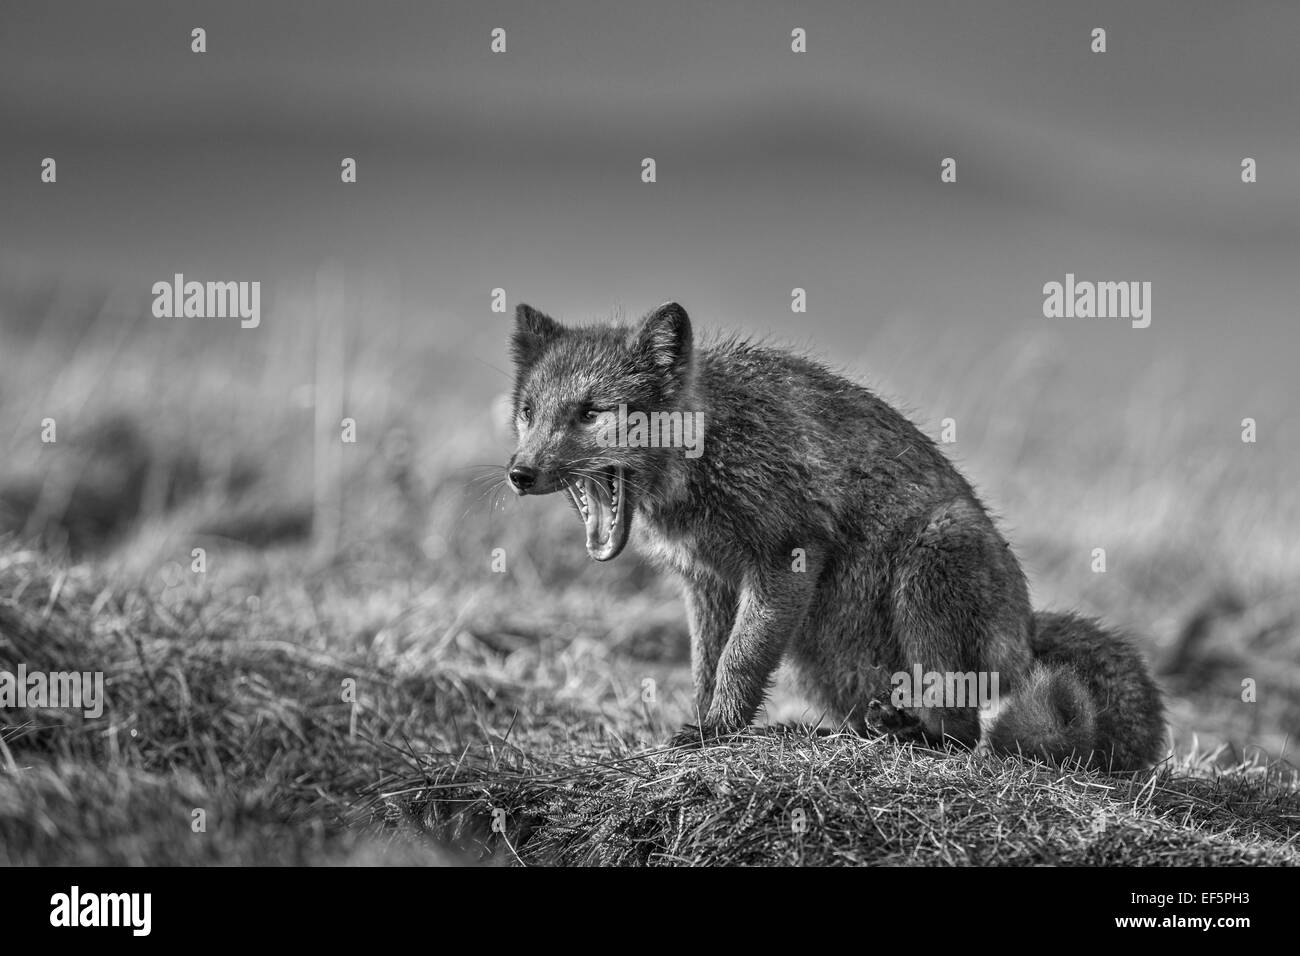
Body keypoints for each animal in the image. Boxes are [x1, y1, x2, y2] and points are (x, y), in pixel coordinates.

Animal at [505, 301, 1167, 771]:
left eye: (593, 412)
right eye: (528, 412)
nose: (519, 474)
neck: (712, 445)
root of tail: (1028, 634)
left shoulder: (787, 554)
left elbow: (739, 660)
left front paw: (715, 733)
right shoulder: (706, 582)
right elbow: (707, 665)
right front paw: (707, 726)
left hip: (927, 568)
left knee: (963, 732)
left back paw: (907, 735)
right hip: (818, 657)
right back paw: (827, 730)